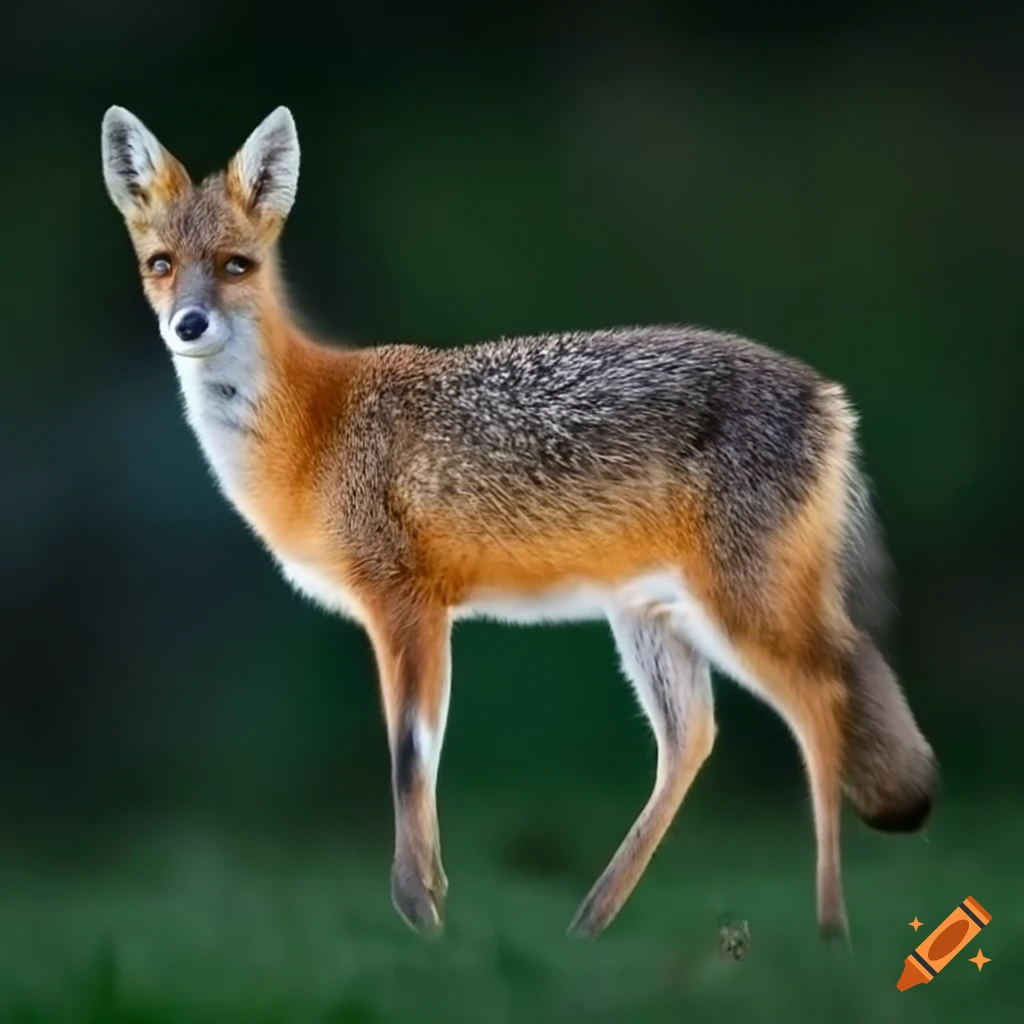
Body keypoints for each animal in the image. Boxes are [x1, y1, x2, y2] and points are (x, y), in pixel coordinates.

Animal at [101, 105, 938, 941]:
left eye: (235, 265)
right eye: (162, 264)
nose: (189, 324)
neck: (313, 427)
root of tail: (829, 393)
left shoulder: (404, 606)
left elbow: (409, 756)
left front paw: (420, 915)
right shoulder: (420, 614)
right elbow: (421, 760)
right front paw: (436, 911)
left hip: (739, 613)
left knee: (822, 708)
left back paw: (829, 933)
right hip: (658, 621)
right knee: (694, 740)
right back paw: (590, 925)